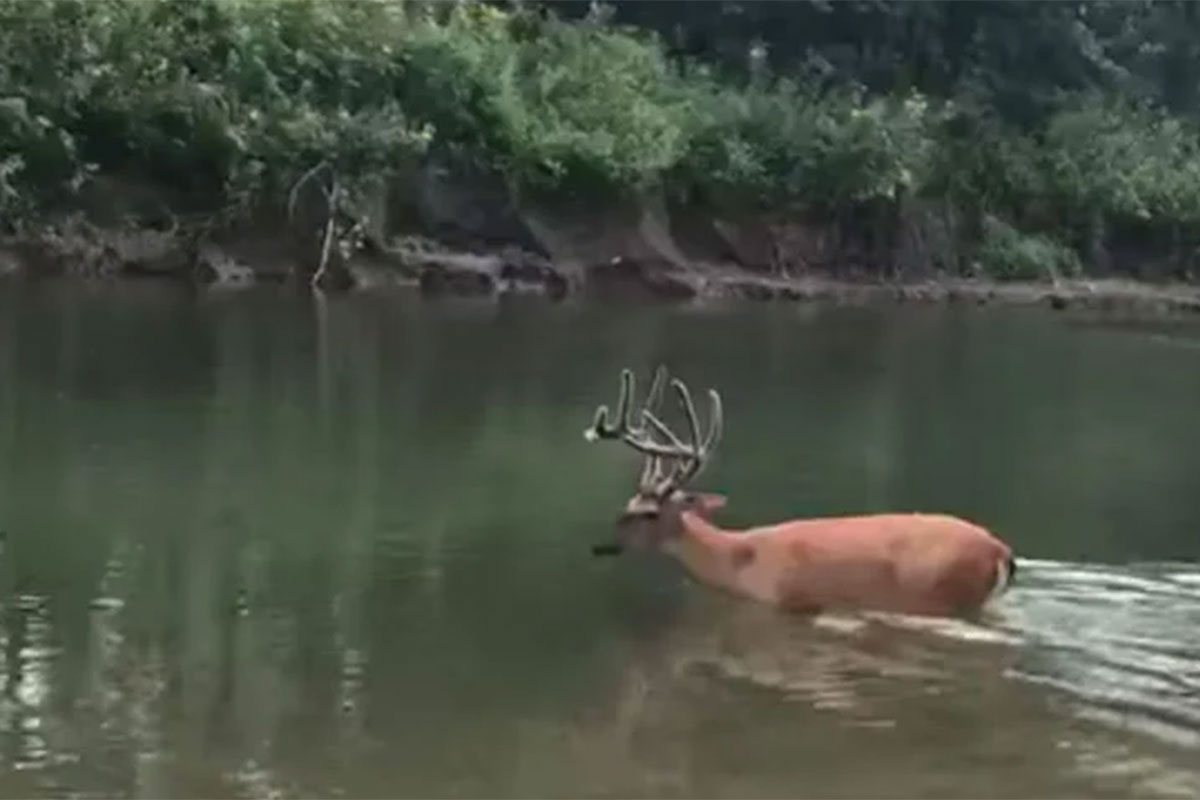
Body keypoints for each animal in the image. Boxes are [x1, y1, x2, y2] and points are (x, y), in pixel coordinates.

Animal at [583, 365, 1017, 620]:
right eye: (628, 503)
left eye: (649, 513)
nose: (602, 547)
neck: (735, 561)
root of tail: (1000, 551)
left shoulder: (792, 602)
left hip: (942, 594)